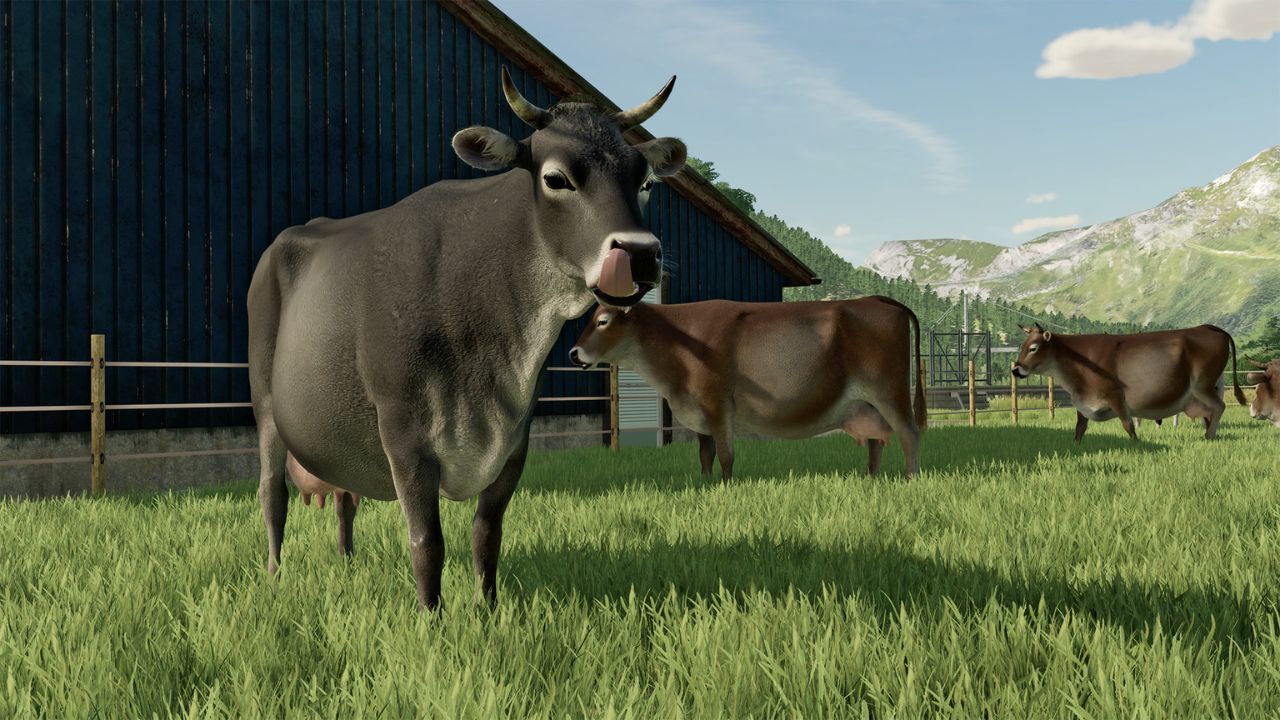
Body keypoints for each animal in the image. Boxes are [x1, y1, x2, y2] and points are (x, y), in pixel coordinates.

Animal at [247, 67, 687, 611]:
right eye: (556, 178)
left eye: (645, 182)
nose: (641, 254)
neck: (493, 352)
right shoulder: (404, 433)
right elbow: (427, 542)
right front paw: (432, 620)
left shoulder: (516, 436)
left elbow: (486, 533)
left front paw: (489, 611)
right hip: (266, 403)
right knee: (272, 494)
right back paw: (273, 579)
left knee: (346, 497)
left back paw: (346, 564)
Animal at [568, 296, 927, 478]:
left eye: (602, 321)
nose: (574, 353)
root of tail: (878, 300)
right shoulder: (699, 411)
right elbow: (705, 454)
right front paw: (705, 485)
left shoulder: (717, 404)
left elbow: (726, 455)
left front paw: (726, 488)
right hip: (866, 403)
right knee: (877, 440)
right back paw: (871, 478)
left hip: (889, 390)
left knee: (909, 434)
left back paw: (910, 478)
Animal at [1010, 323, 1247, 442]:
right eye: (1022, 345)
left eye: (1033, 348)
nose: (1015, 369)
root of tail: (1207, 327)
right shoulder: (1083, 400)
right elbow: (1080, 428)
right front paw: (1076, 447)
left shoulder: (1116, 395)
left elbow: (1128, 425)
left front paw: (1136, 446)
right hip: (1213, 385)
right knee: (1210, 412)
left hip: (1202, 385)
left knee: (1219, 407)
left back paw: (1209, 436)